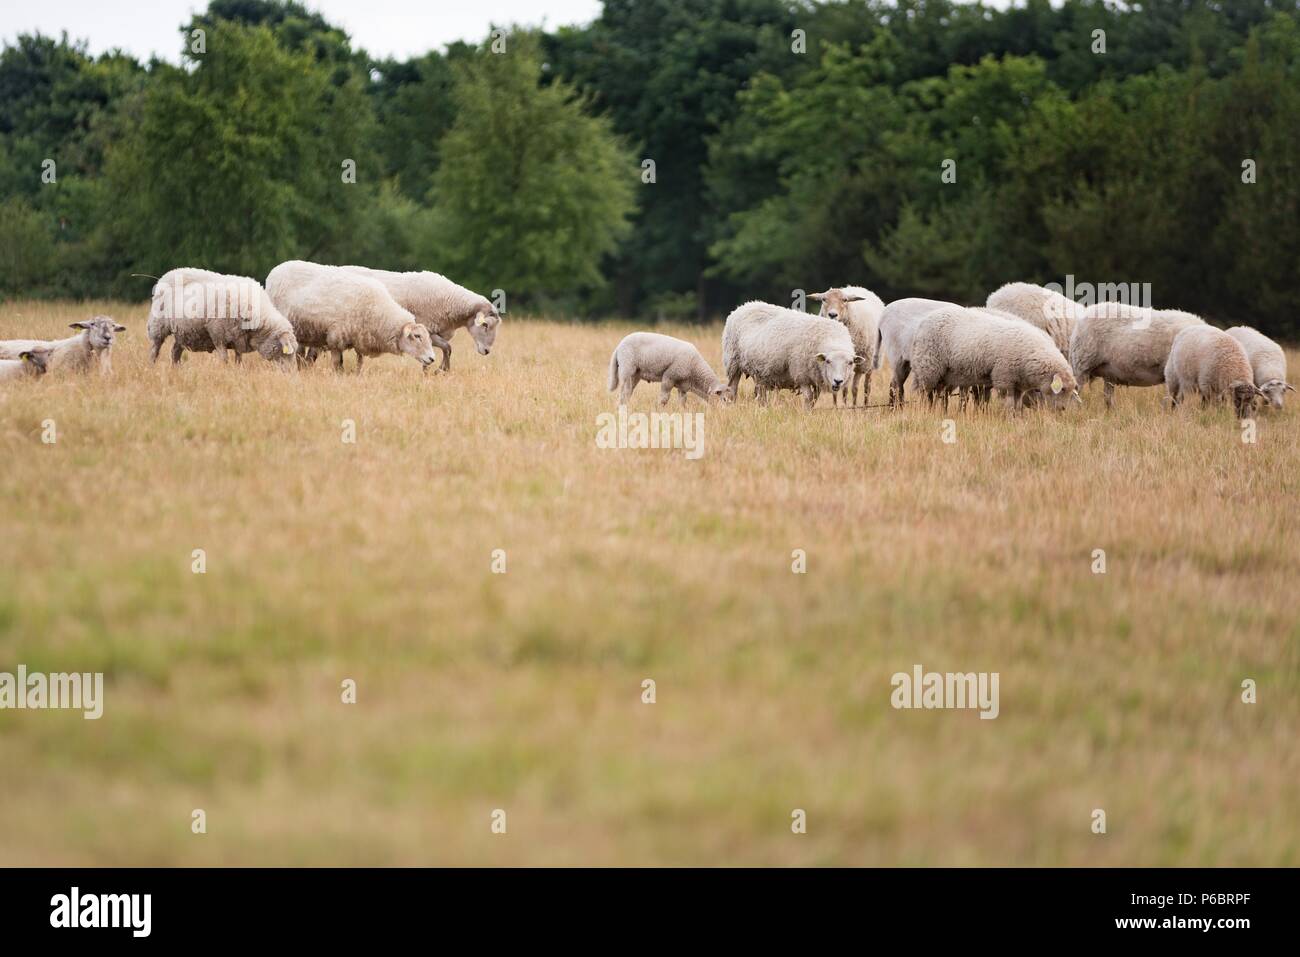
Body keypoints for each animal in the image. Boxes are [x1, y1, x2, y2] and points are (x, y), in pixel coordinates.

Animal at [148, 268, 298, 366]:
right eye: (283, 351)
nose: (290, 374)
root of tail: (168, 274)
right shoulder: (218, 335)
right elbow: (224, 359)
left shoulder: (239, 339)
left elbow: (239, 359)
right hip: (158, 325)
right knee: (154, 349)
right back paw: (151, 368)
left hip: (182, 332)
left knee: (175, 352)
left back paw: (176, 370)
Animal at [265, 261, 436, 372]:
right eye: (417, 336)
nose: (432, 359)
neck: (379, 311)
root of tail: (276, 270)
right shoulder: (335, 338)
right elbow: (338, 363)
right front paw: (338, 376)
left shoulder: (358, 338)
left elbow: (358, 362)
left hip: (301, 330)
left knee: (300, 354)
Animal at [340, 266, 501, 372]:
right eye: (485, 325)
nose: (487, 351)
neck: (450, 301)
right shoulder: (428, 330)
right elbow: (447, 348)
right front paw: (440, 370)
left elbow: (441, 350)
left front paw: (432, 371)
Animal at [722, 301, 863, 410]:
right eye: (827, 361)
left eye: (850, 363)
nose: (838, 381)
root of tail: (743, 306)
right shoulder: (802, 375)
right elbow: (808, 397)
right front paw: (806, 414)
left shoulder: (816, 378)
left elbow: (814, 399)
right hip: (733, 363)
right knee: (732, 390)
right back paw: (731, 407)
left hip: (760, 372)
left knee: (760, 394)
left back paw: (763, 409)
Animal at [910, 306, 1080, 413]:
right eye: (1062, 389)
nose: (1062, 409)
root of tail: (924, 322)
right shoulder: (1003, 377)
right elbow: (1009, 403)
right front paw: (1009, 418)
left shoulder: (1017, 384)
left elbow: (1017, 403)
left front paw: (1016, 419)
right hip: (929, 366)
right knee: (924, 392)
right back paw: (923, 411)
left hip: (945, 374)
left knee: (936, 394)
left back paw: (934, 411)